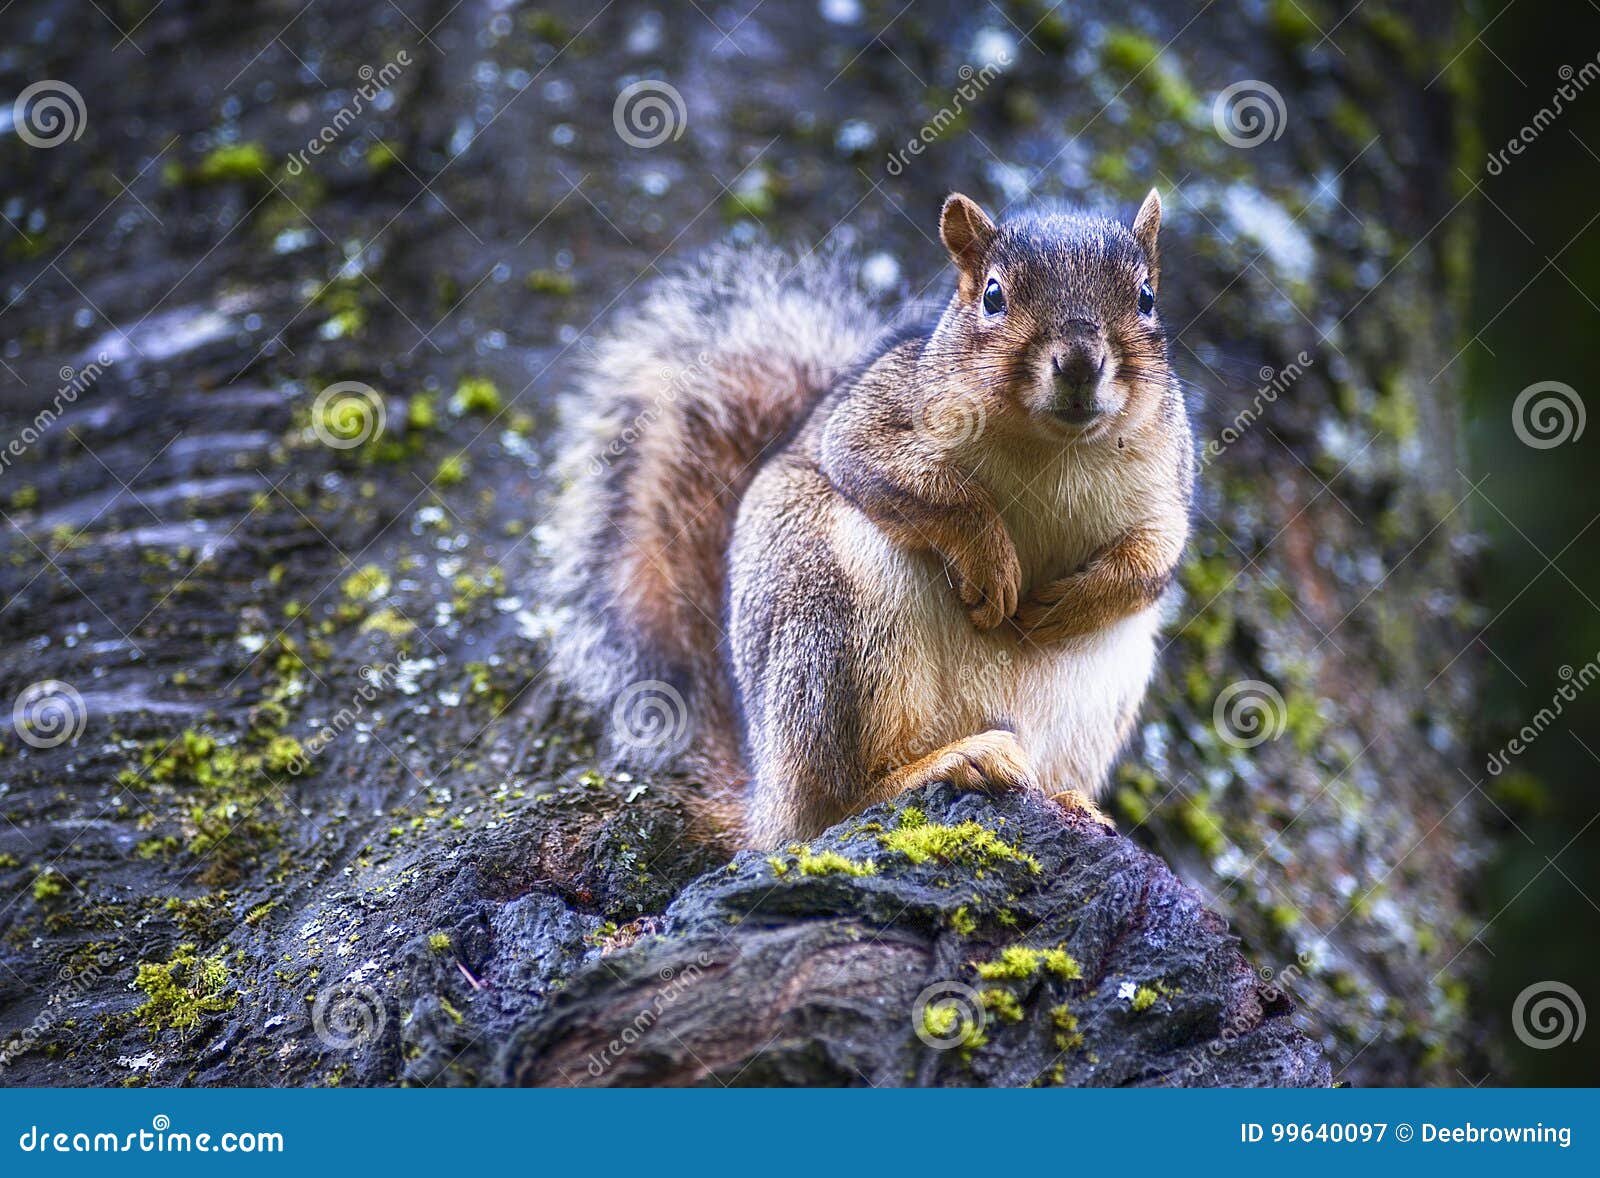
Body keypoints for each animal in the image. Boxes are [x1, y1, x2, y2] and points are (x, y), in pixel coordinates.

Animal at [547, 190, 1194, 849]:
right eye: (993, 295)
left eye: (1146, 297)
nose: (1081, 362)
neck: (1055, 448)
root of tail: (766, 803)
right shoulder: (878, 415)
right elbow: (890, 472)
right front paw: (991, 562)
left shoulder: (1169, 484)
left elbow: (1155, 558)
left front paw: (1060, 608)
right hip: (839, 628)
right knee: (843, 799)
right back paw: (948, 762)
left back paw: (1070, 802)